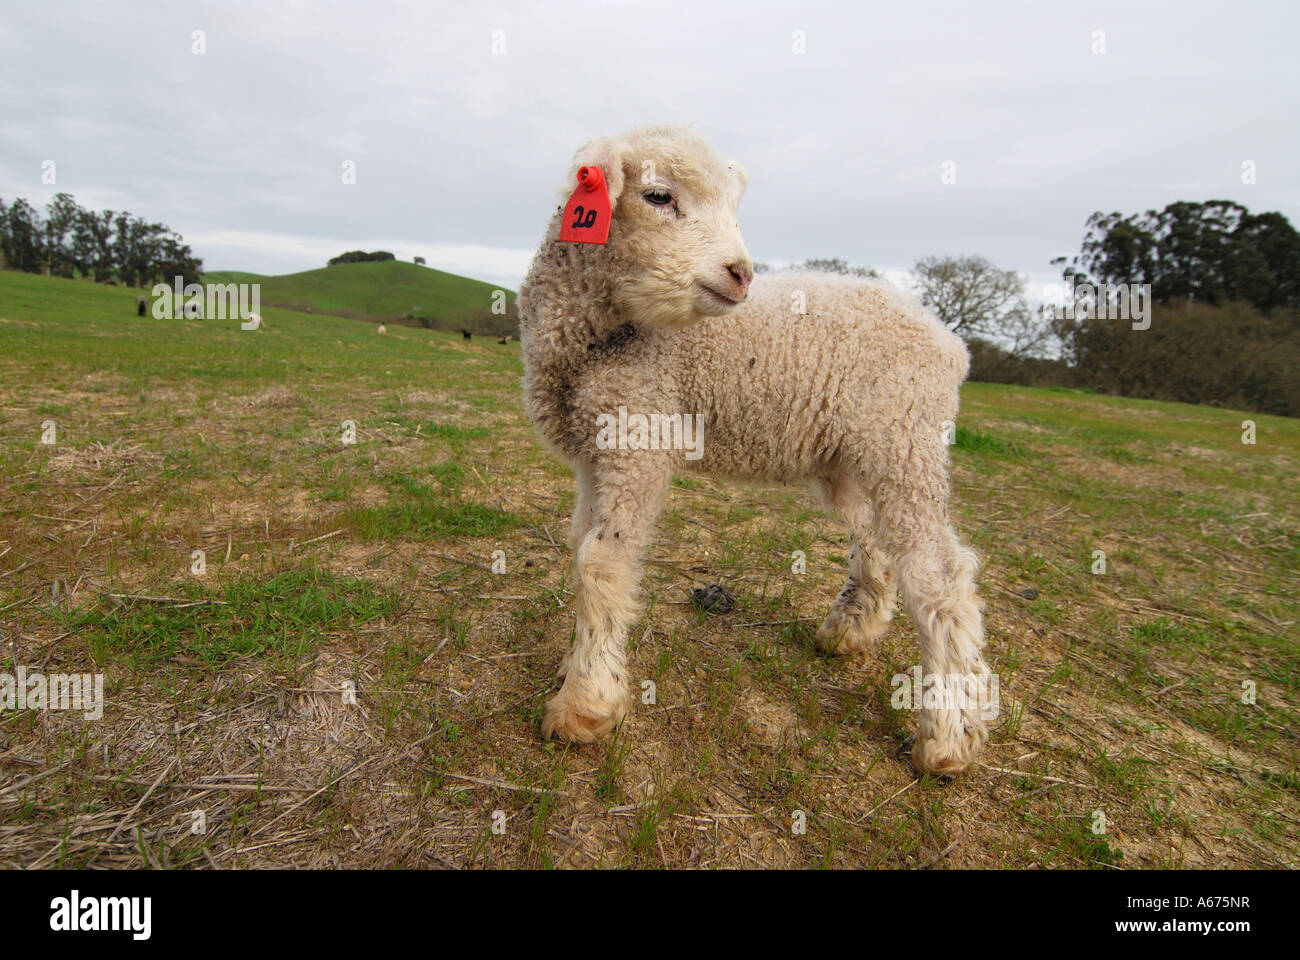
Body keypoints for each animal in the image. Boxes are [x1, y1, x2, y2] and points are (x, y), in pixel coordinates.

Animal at [516, 125, 993, 776]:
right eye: (659, 196)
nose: (741, 274)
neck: (595, 340)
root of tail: (951, 343)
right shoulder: (596, 447)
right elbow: (579, 546)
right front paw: (576, 664)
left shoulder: (640, 432)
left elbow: (601, 564)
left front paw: (585, 704)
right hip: (853, 460)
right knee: (876, 543)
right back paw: (849, 632)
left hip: (903, 442)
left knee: (939, 575)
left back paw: (948, 736)